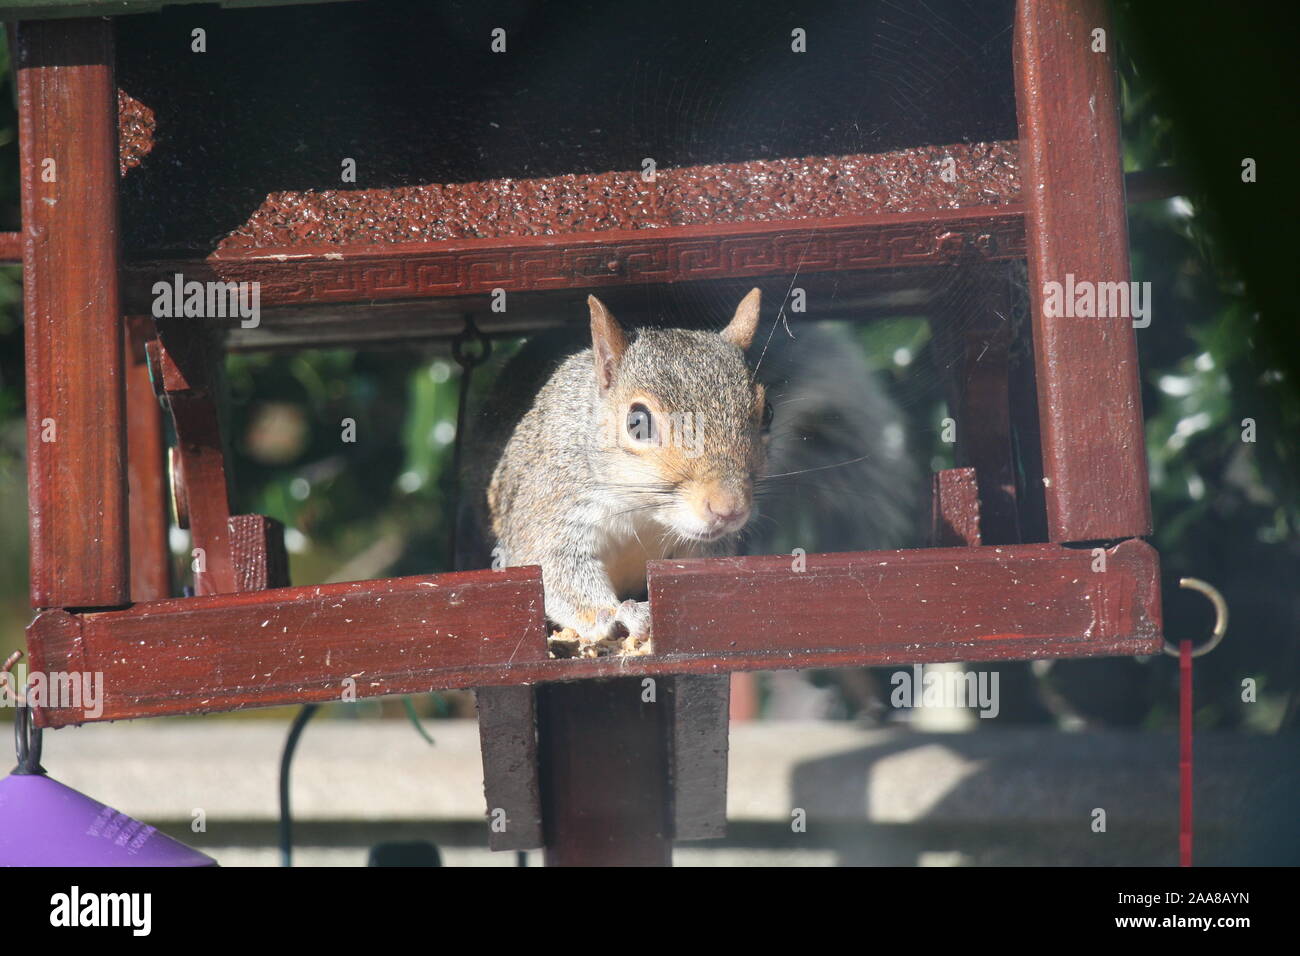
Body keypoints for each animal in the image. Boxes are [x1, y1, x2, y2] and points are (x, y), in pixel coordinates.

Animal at [463, 288, 918, 645]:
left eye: (768, 413)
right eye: (637, 422)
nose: (729, 508)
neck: (645, 516)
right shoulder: (551, 502)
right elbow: (554, 567)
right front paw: (617, 614)